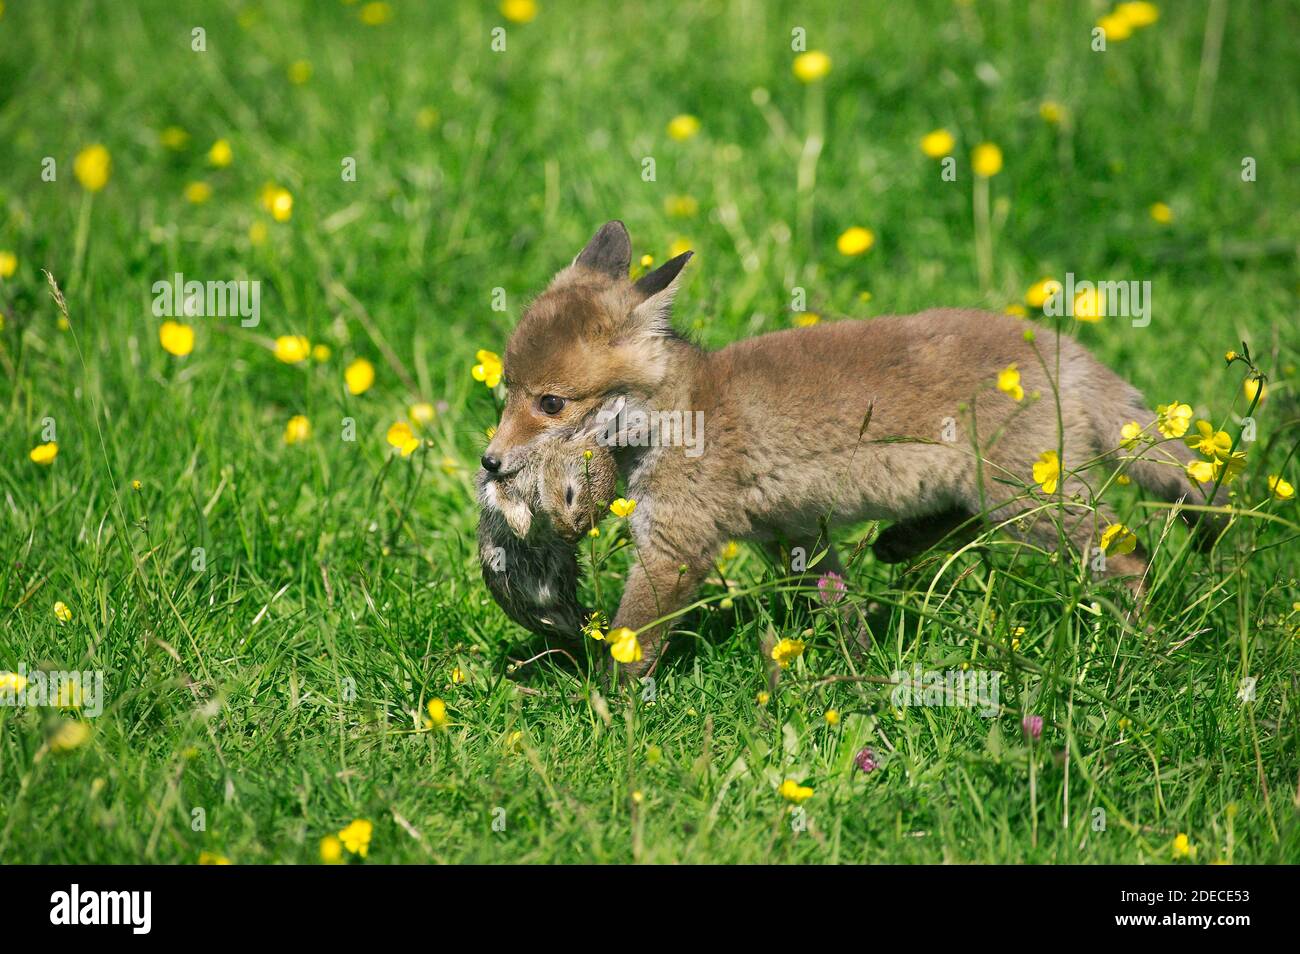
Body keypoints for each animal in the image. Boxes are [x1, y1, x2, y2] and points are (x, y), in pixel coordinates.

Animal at [480, 221, 1226, 677]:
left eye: (551, 404)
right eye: (506, 391)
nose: (490, 462)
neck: (679, 414)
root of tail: (1059, 347)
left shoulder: (674, 546)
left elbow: (630, 644)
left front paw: (609, 717)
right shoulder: (793, 534)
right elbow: (839, 609)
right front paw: (863, 674)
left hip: (1026, 499)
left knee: (1127, 552)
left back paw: (1142, 645)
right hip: (998, 491)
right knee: (967, 522)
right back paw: (902, 543)